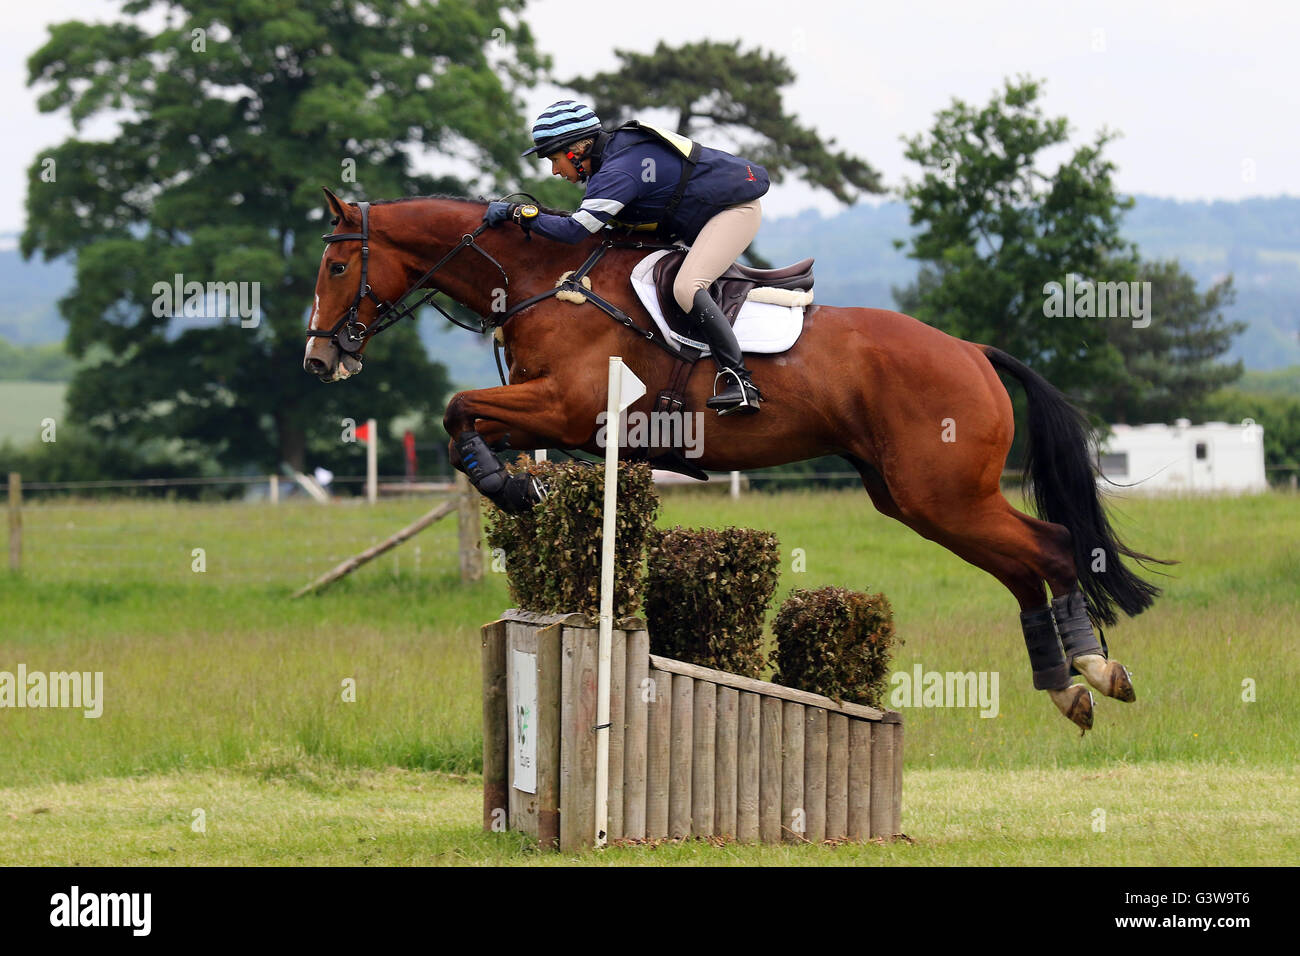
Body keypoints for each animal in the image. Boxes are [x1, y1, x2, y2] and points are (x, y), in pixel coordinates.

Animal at [303, 187, 1167, 733]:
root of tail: (973, 352)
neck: (545, 280)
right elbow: (463, 421)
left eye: (338, 267)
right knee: (1023, 569)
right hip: (917, 501)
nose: (319, 360)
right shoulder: (551, 413)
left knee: (1051, 549)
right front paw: (514, 486)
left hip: (943, 494)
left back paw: (1098, 673)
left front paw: (511, 490)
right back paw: (1066, 690)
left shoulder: (570, 406)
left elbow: (458, 410)